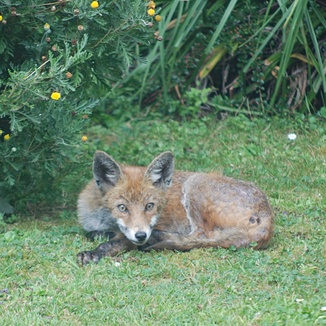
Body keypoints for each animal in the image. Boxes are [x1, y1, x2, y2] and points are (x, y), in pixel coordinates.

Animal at [77, 150, 274, 264]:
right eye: (122, 207)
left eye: (149, 206)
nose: (141, 236)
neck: (104, 220)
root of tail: (268, 216)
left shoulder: (136, 234)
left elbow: (114, 243)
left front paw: (94, 252)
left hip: (195, 184)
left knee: (201, 236)